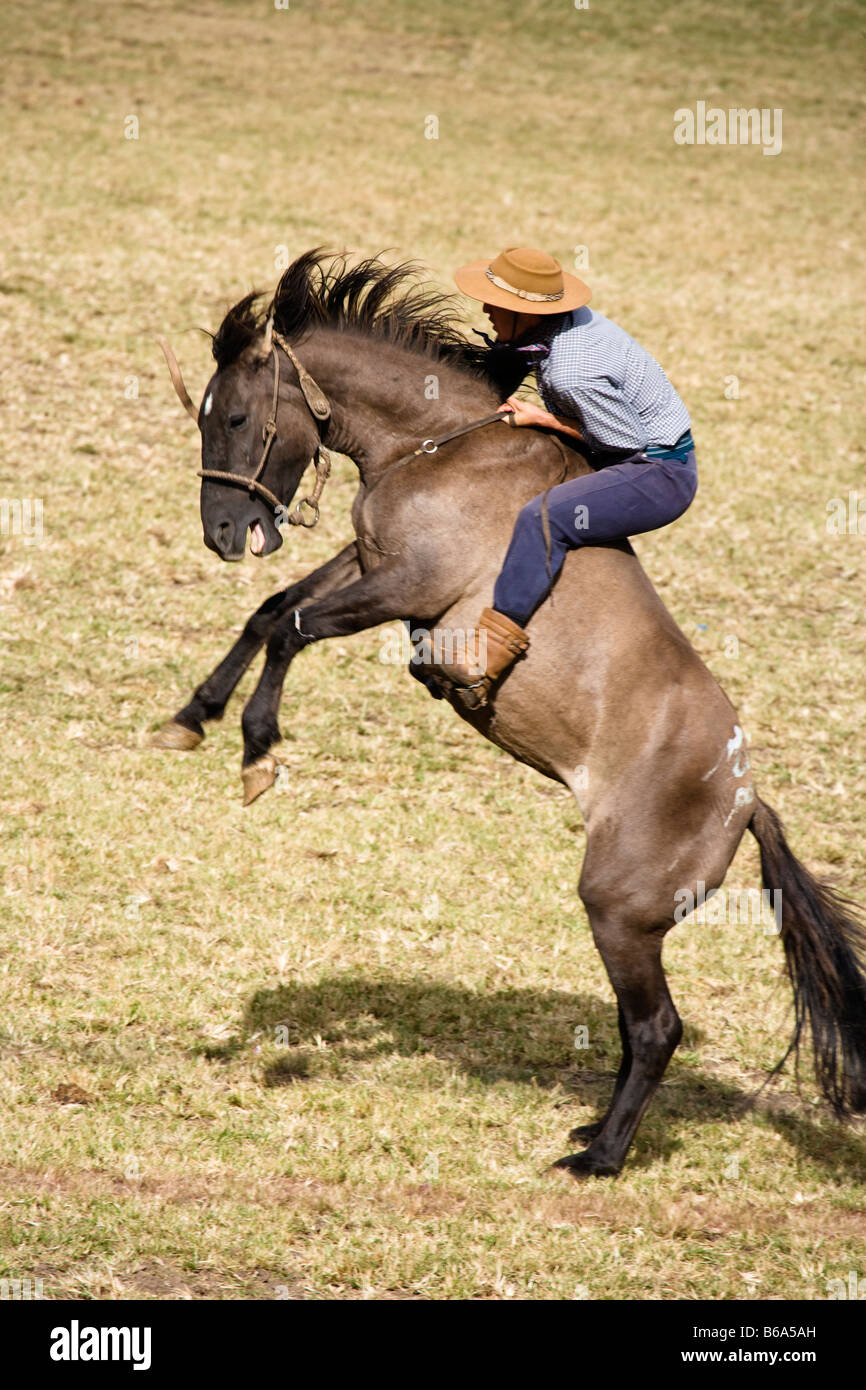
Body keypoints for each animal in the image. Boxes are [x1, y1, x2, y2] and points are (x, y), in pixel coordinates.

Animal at [153, 249, 866, 1177]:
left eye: (236, 416)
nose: (222, 531)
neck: (436, 445)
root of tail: (746, 802)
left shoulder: (409, 586)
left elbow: (291, 627)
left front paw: (257, 754)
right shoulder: (369, 561)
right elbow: (272, 610)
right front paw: (194, 715)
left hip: (618, 908)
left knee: (656, 1028)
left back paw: (599, 1160)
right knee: (639, 1030)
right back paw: (591, 1134)